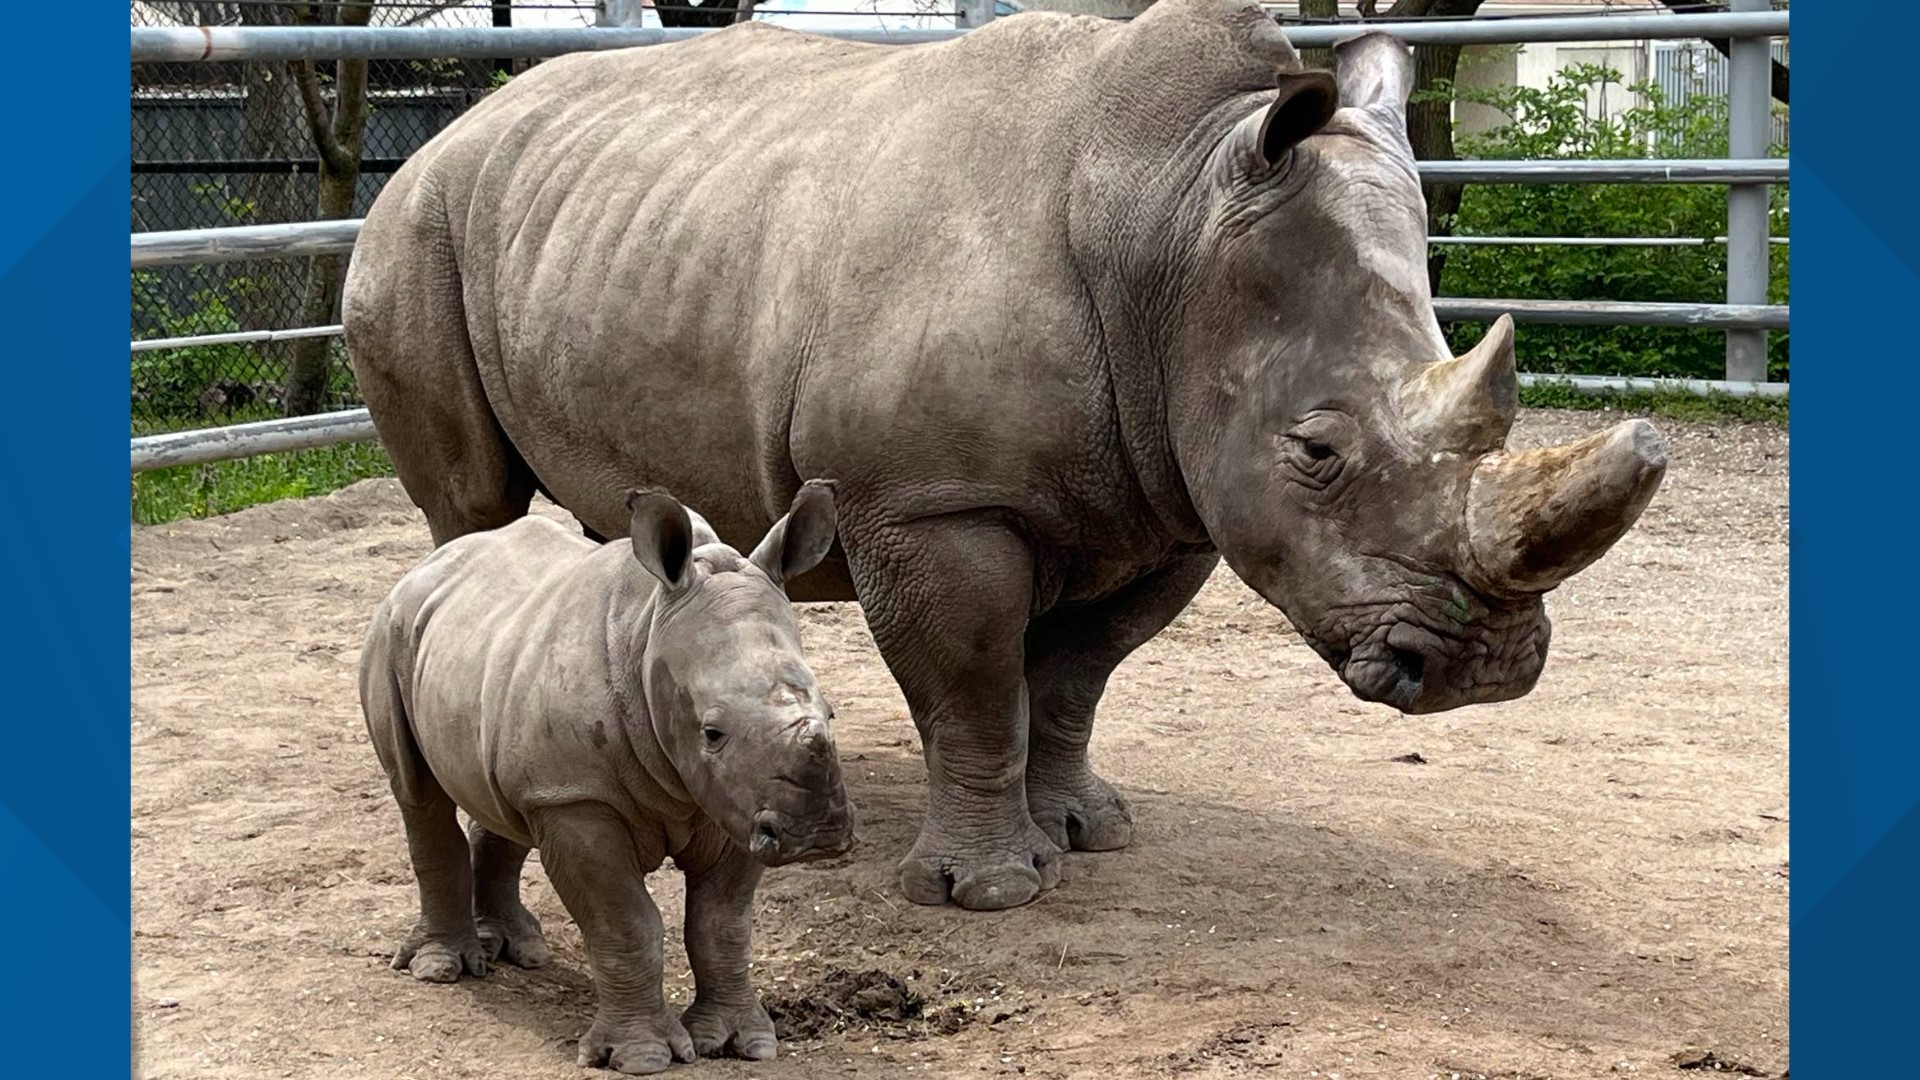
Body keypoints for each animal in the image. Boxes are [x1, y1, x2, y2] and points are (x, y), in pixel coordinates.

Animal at [343, 0, 1667, 913]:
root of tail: (456, 126)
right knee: (467, 502)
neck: (1171, 224)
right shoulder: (931, 504)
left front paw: (1090, 832)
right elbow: (975, 685)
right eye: (1318, 450)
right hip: (414, 231)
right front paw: (987, 893)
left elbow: (1076, 677)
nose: (1481, 672)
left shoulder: (1168, 494)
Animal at [359, 482, 853, 1072]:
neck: (648, 632)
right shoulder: (578, 799)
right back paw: (442, 967)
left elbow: (722, 923)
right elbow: (626, 921)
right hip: (393, 632)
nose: (817, 835)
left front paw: (741, 1043)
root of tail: (427, 565)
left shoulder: (737, 801)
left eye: (831, 713)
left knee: (504, 805)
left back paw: (520, 950)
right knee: (419, 795)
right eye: (711, 732)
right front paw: (642, 1057)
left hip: (488, 657)